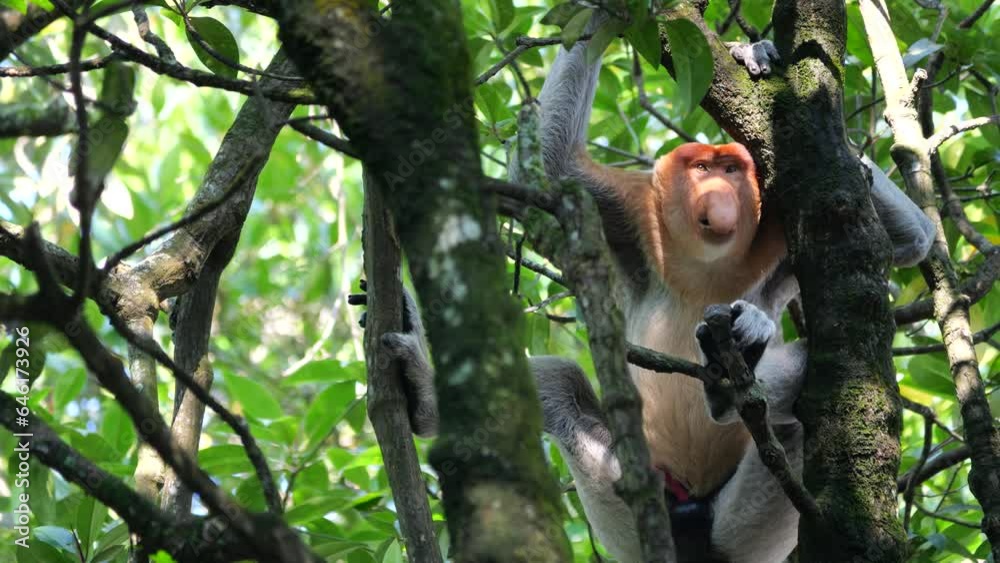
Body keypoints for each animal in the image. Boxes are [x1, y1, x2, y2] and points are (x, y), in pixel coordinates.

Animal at [352, 20, 935, 563]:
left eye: (730, 168)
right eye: (701, 167)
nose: (718, 192)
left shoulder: (778, 231)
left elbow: (908, 242)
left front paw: (761, 56)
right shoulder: (635, 215)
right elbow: (552, 169)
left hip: (742, 529)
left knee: (806, 393)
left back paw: (732, 379)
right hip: (626, 492)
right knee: (562, 384)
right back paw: (425, 396)